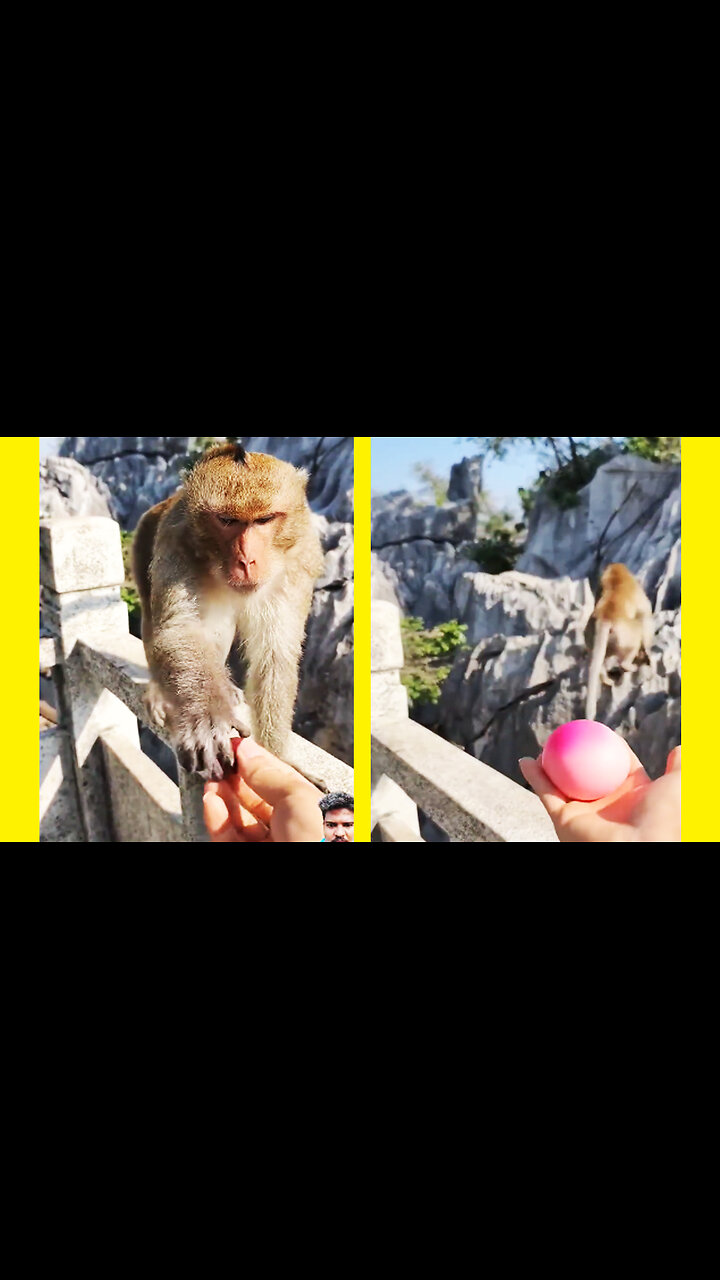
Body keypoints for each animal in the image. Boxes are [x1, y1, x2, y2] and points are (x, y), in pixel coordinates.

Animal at [132, 443, 325, 779]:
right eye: (227, 521)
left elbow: (275, 652)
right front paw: (207, 719)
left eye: (264, 520)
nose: (246, 561)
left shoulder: (301, 559)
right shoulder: (177, 543)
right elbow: (182, 631)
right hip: (144, 540)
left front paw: (277, 759)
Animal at [585, 563, 654, 721]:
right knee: (637, 633)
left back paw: (606, 678)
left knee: (596, 659)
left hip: (593, 636)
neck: (615, 575)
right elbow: (645, 616)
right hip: (625, 637)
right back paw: (629, 665)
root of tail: (604, 620)